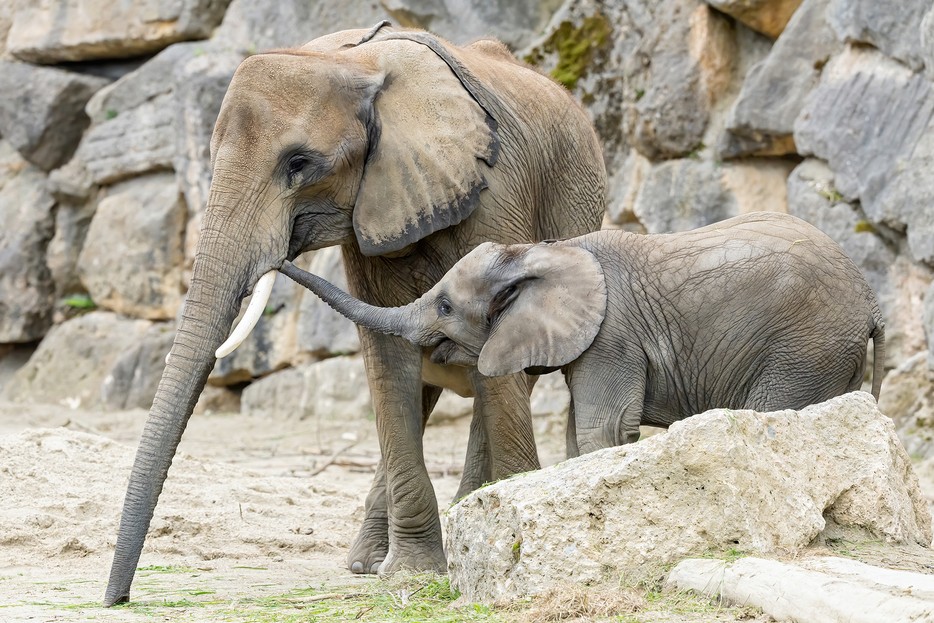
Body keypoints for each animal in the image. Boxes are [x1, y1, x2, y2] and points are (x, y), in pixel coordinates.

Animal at [103, 22, 606, 605]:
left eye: (299, 164)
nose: (117, 600)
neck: (353, 65)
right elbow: (388, 356)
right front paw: (411, 571)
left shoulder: (493, 192)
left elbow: (496, 353)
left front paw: (501, 538)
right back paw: (368, 560)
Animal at [279, 211, 886, 457]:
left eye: (446, 306)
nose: (283, 251)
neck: (540, 251)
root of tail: (872, 300)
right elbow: (577, 436)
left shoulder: (612, 337)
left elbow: (603, 431)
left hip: (804, 346)